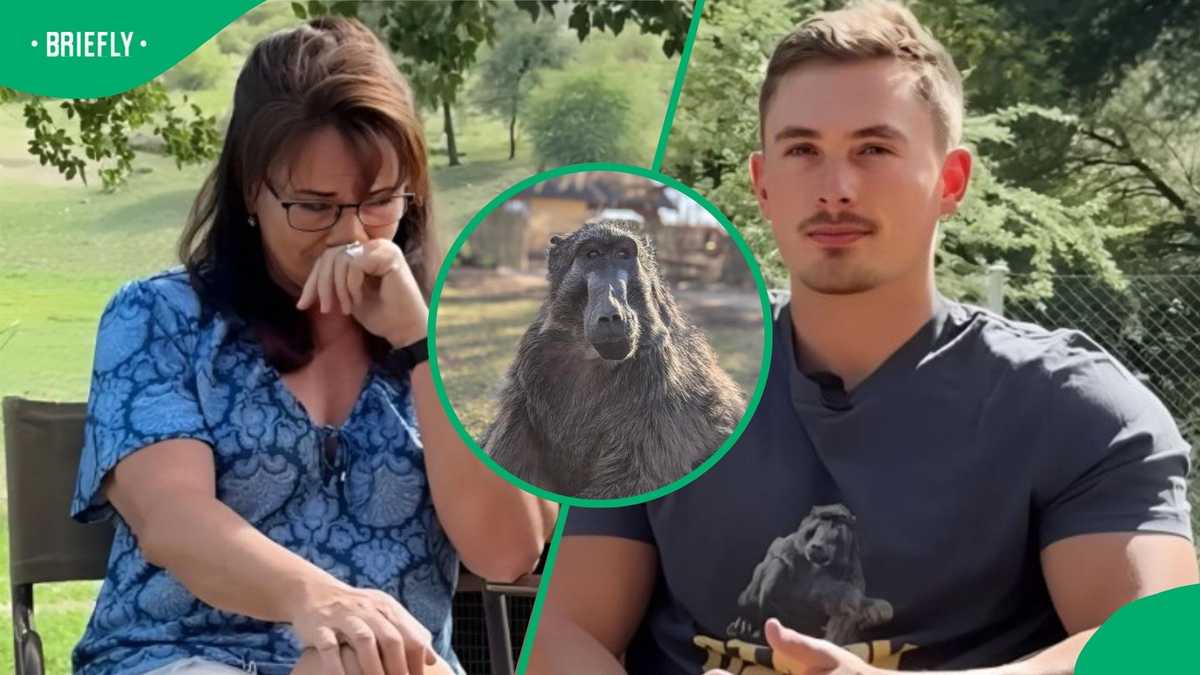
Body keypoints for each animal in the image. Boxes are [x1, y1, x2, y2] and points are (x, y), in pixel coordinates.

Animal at [482, 219, 747, 499]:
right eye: (592, 255)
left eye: (622, 255)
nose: (612, 316)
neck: (592, 357)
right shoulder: (531, 369)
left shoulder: (656, 378)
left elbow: (633, 480)